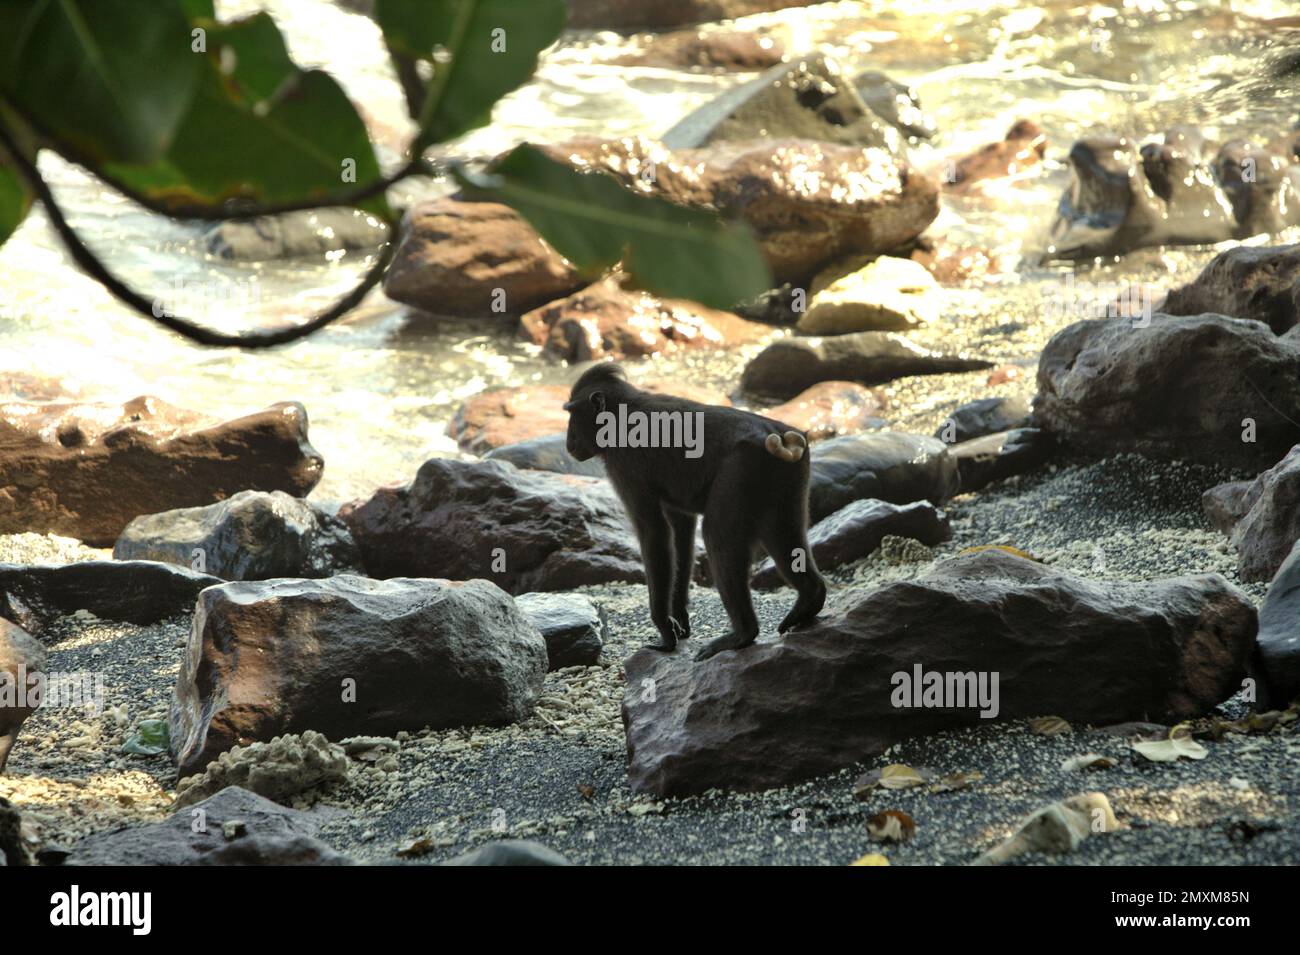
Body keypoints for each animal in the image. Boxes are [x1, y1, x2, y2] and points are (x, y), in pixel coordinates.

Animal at [564, 363, 826, 661]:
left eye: (572, 413)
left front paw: (665, 629)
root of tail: (777, 437)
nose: (568, 442)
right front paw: (678, 618)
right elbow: (681, 532)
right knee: (785, 533)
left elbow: (654, 533)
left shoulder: (625, 465)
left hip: (740, 469)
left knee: (717, 535)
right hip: (790, 479)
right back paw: (809, 600)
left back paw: (742, 634)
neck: (623, 411)